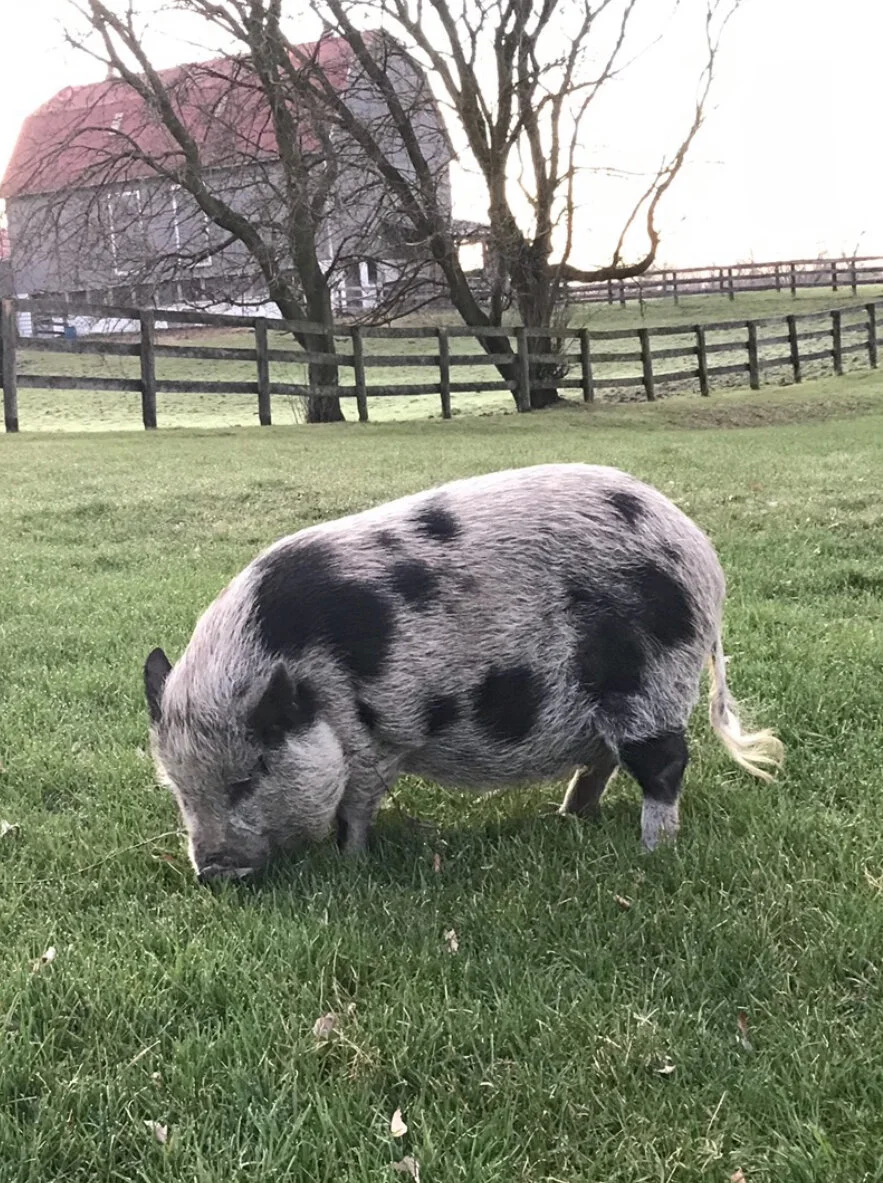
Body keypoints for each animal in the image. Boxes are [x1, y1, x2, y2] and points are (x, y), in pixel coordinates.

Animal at [143, 463, 783, 880]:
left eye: (248, 777)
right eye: (177, 787)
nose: (213, 872)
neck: (307, 680)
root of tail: (702, 557)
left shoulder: (379, 736)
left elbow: (356, 806)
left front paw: (348, 864)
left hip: (654, 680)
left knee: (665, 763)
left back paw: (652, 853)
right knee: (604, 757)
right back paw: (567, 816)